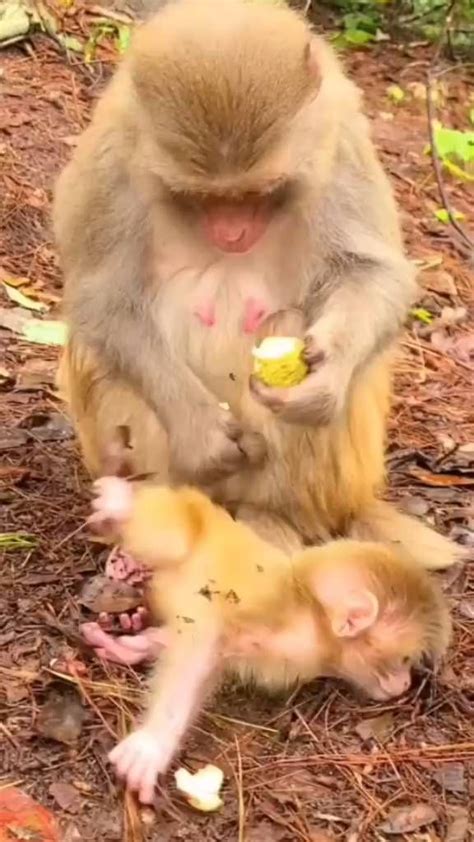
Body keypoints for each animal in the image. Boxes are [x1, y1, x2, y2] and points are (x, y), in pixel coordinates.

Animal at [54, 0, 459, 570]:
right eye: (201, 197)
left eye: (259, 192)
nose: (232, 233)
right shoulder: (113, 153)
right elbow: (103, 297)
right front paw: (199, 428)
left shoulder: (339, 137)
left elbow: (370, 270)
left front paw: (326, 378)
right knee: (94, 355)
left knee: (289, 323)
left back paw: (272, 519)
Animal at [81, 476, 452, 805]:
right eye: (403, 660)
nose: (405, 683)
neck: (310, 617)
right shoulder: (263, 606)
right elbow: (200, 645)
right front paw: (152, 743)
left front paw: (133, 647)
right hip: (186, 518)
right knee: (170, 533)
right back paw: (122, 505)